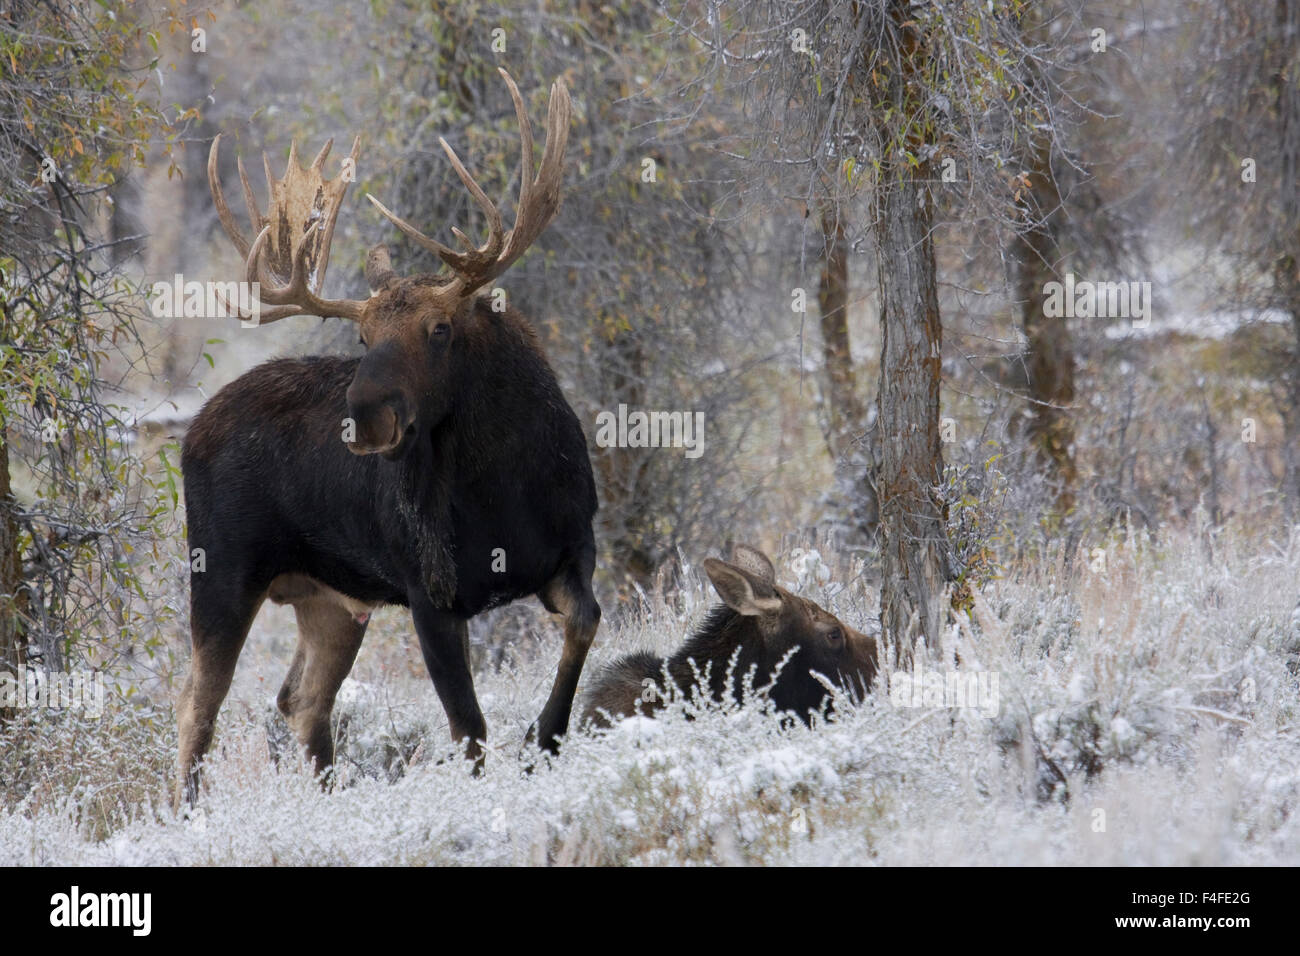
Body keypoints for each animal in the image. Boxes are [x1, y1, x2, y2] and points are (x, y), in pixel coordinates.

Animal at [175, 70, 600, 806]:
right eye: (363, 337)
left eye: (440, 328)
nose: (366, 416)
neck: (506, 495)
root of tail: (190, 433)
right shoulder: (429, 593)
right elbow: (468, 729)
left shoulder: (574, 549)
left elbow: (583, 626)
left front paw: (543, 742)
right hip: (222, 571)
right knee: (199, 707)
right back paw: (189, 816)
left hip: (329, 601)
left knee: (301, 700)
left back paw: (328, 801)